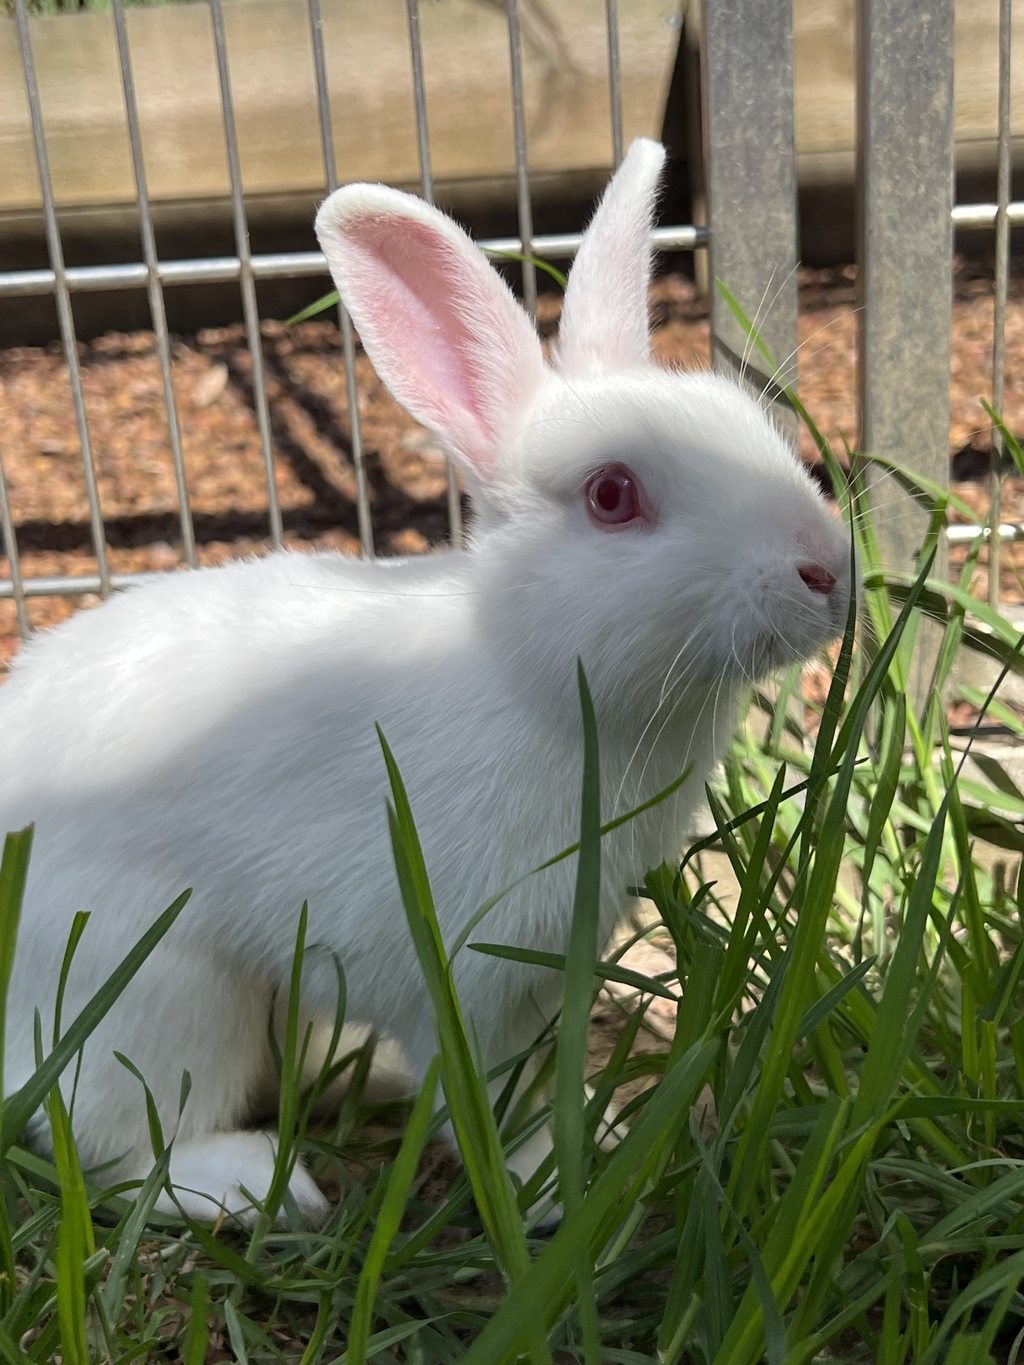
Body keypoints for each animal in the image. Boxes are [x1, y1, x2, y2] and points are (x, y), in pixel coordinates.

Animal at [0, 138, 850, 1226]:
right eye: (612, 494)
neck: (523, 672)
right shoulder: (472, 976)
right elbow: (496, 1096)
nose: (828, 569)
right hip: (157, 989)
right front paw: (553, 1183)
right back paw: (247, 1185)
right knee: (106, 1141)